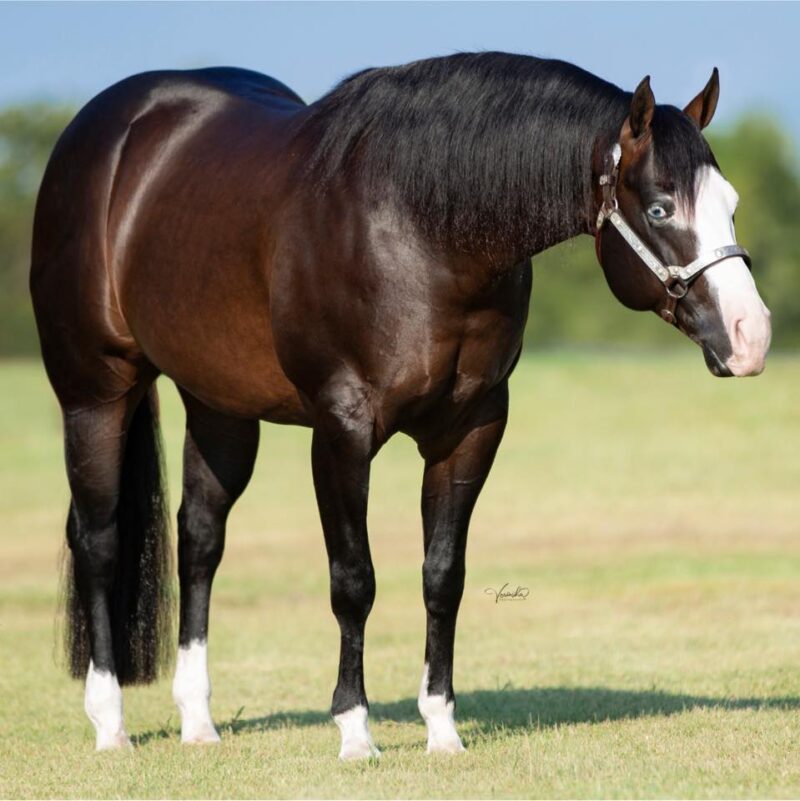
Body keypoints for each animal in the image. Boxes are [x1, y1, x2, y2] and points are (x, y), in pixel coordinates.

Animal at [30, 53, 771, 758]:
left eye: (731, 202)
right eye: (661, 209)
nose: (752, 336)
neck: (421, 229)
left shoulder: (471, 429)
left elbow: (443, 575)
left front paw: (442, 729)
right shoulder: (340, 432)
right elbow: (353, 580)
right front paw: (355, 732)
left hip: (220, 406)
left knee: (200, 538)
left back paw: (198, 722)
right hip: (94, 391)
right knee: (99, 541)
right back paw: (110, 724)